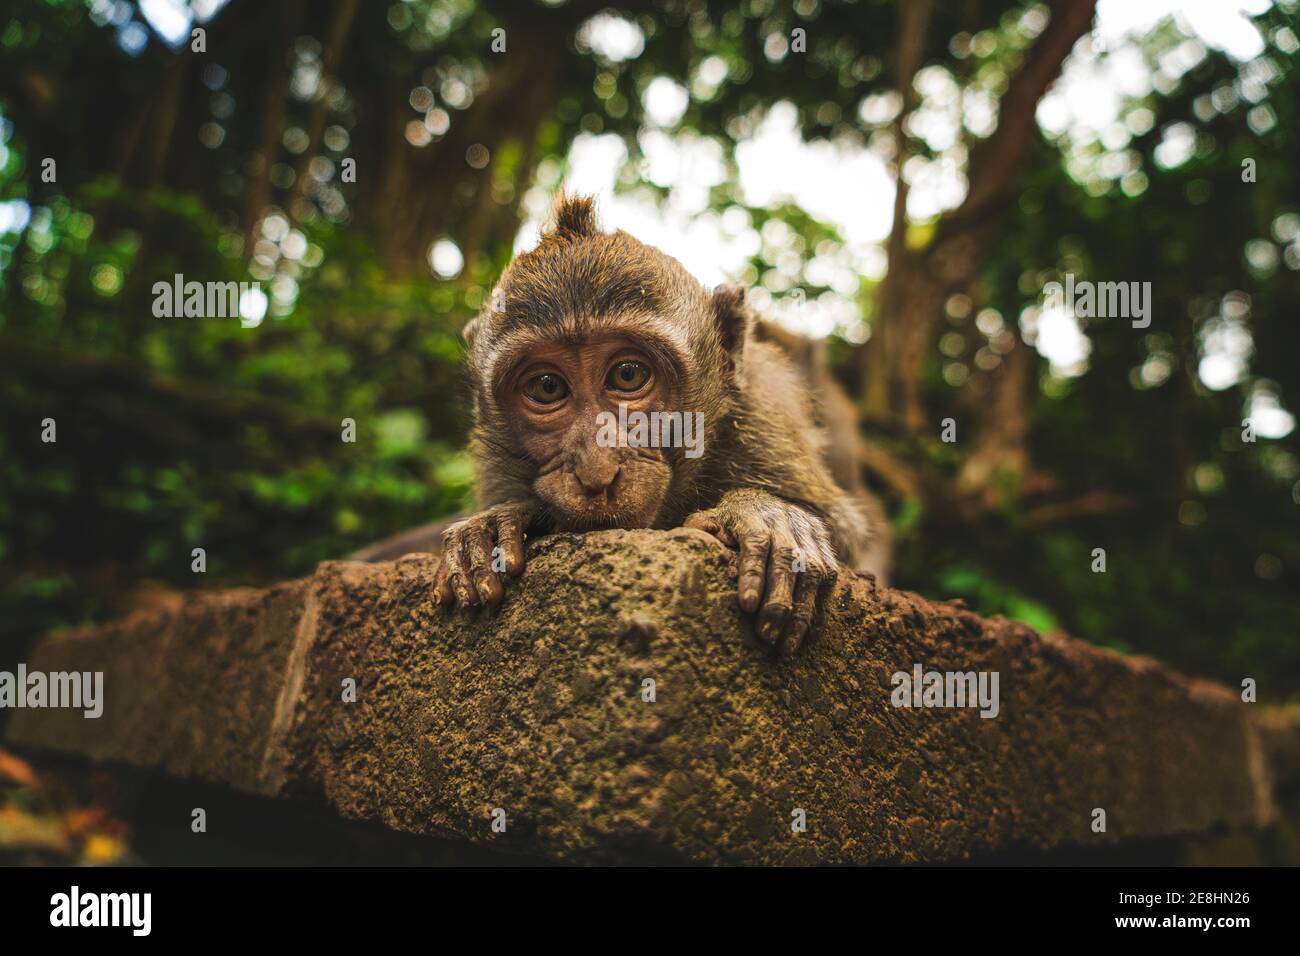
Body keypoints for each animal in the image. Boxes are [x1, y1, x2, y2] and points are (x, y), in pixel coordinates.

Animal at [378, 194, 890, 655]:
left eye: (628, 375)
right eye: (547, 386)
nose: (597, 471)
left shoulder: (761, 420)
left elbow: (846, 531)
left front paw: (763, 515)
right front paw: (507, 522)